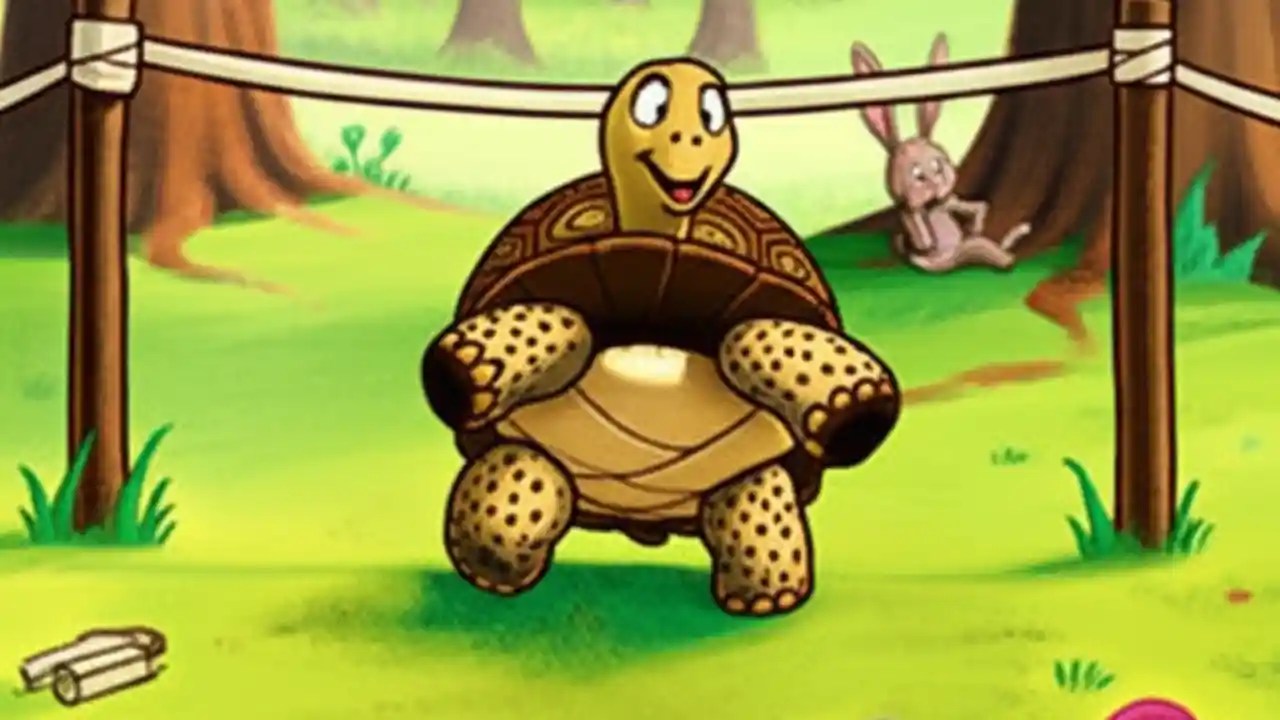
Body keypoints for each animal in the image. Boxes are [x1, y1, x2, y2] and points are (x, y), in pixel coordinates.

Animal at [850, 33, 1032, 273]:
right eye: (917, 175)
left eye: (938, 166)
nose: (935, 183)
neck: (932, 205)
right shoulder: (912, 213)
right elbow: (919, 232)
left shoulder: (948, 201)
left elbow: (975, 206)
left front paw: (976, 223)